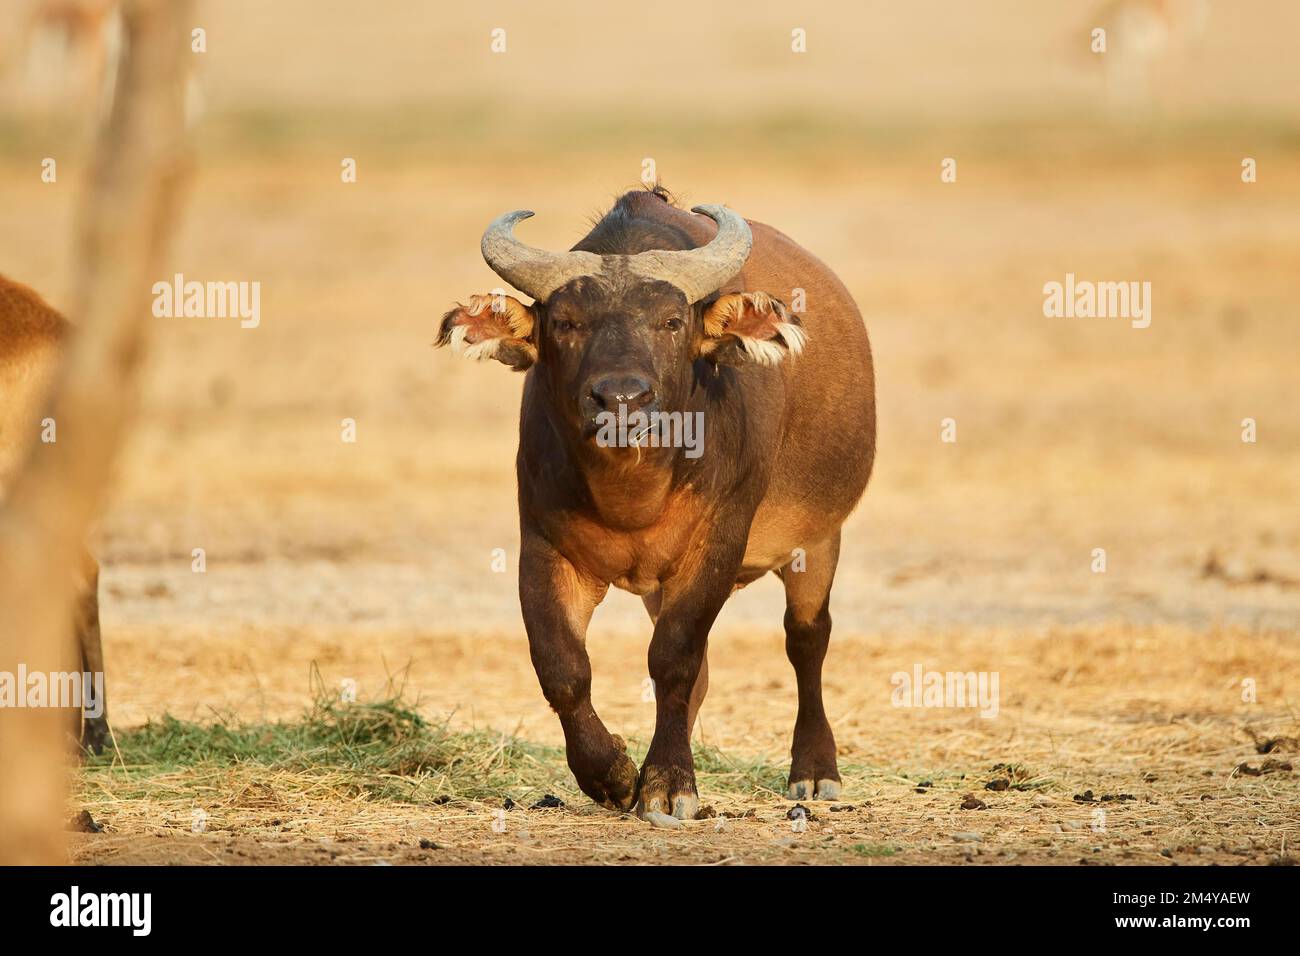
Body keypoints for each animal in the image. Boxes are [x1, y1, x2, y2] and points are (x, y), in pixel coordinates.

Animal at [437, 187, 875, 825]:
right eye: (566, 323)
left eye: (671, 322)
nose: (622, 398)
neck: (633, 492)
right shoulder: (544, 545)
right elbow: (562, 668)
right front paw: (616, 775)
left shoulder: (717, 543)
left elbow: (673, 661)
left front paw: (669, 783)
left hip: (818, 540)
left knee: (806, 638)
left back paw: (814, 772)